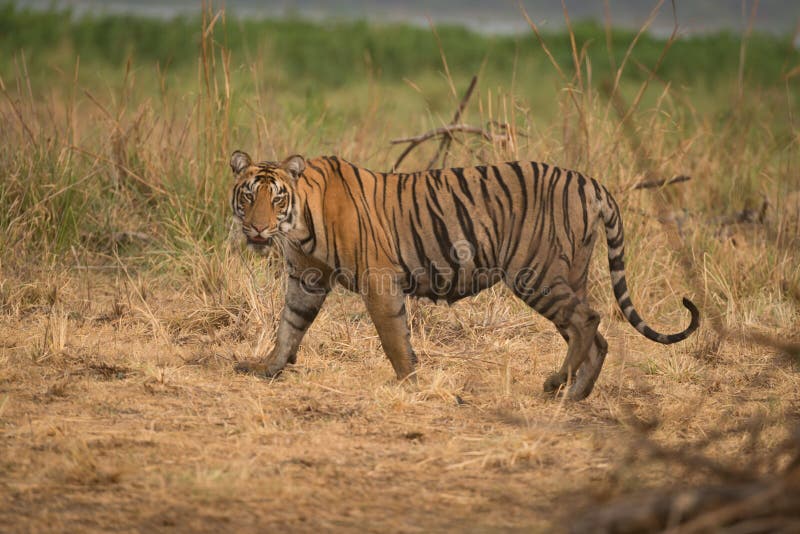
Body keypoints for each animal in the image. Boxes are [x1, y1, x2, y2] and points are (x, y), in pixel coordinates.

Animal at [229, 150, 699, 400]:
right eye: (248, 196)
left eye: (276, 199)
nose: (257, 229)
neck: (300, 223)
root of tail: (590, 182)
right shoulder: (306, 280)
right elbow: (289, 327)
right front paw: (267, 367)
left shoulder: (379, 281)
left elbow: (394, 338)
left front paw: (410, 383)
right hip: (570, 275)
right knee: (594, 335)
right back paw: (576, 393)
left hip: (536, 274)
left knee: (588, 321)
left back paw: (555, 383)